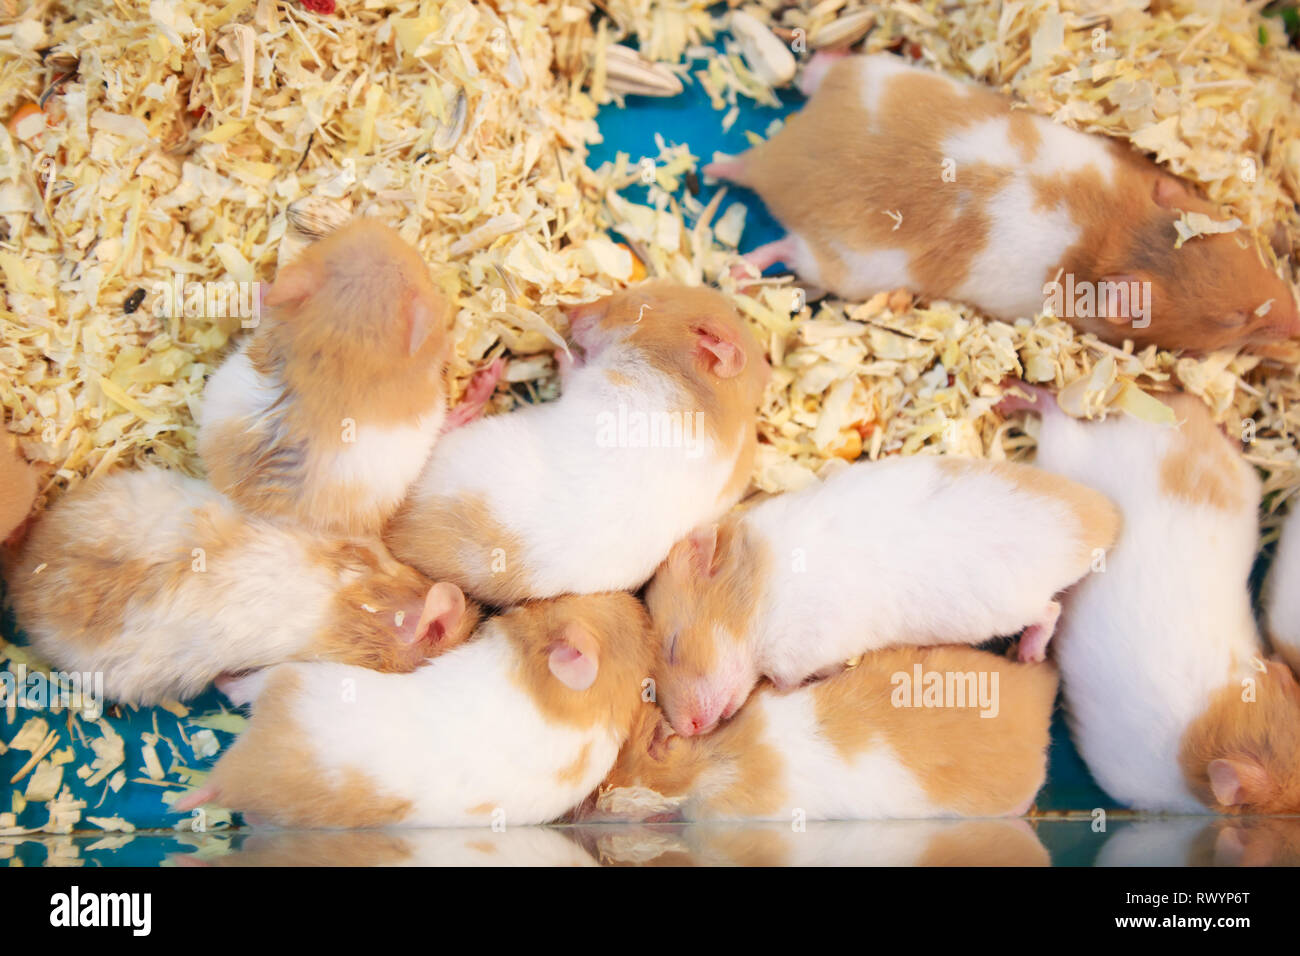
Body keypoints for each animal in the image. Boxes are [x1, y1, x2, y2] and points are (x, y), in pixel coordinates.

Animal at [384, 281, 770, 605]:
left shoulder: (598, 382)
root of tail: (395, 533)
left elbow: (572, 371)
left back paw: (484, 383)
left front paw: (560, 353)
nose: (571, 311)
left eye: (643, 302)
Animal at [646, 454, 1118, 735]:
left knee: (1051, 611)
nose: (686, 729)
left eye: (672, 646)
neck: (756, 600)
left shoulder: (799, 653)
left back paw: (1027, 655)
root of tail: (1107, 522)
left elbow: (793, 679)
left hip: (1010, 607)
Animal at [707, 52, 1299, 352]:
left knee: (820, 74)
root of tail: (778, 158)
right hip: (839, 265)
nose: (1294, 324)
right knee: (781, 247)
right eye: (1232, 321)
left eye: (1252, 250)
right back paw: (737, 266)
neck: (1116, 233)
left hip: (871, 73)